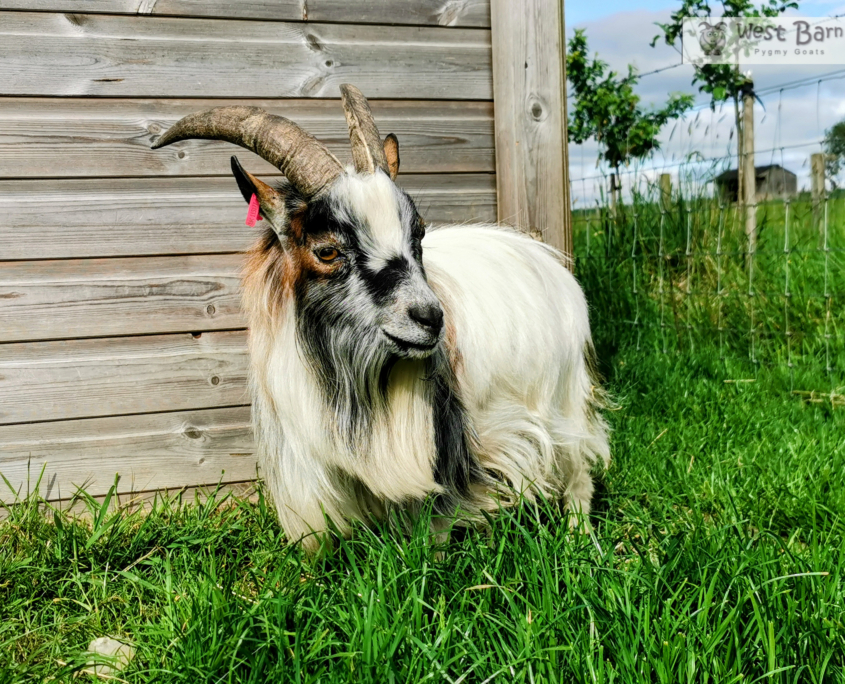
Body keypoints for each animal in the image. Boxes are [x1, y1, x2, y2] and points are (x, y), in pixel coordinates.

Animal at [153, 85, 610, 551]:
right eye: (327, 251)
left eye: (418, 236)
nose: (431, 318)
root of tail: (546, 256)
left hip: (562, 397)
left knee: (579, 463)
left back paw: (578, 534)